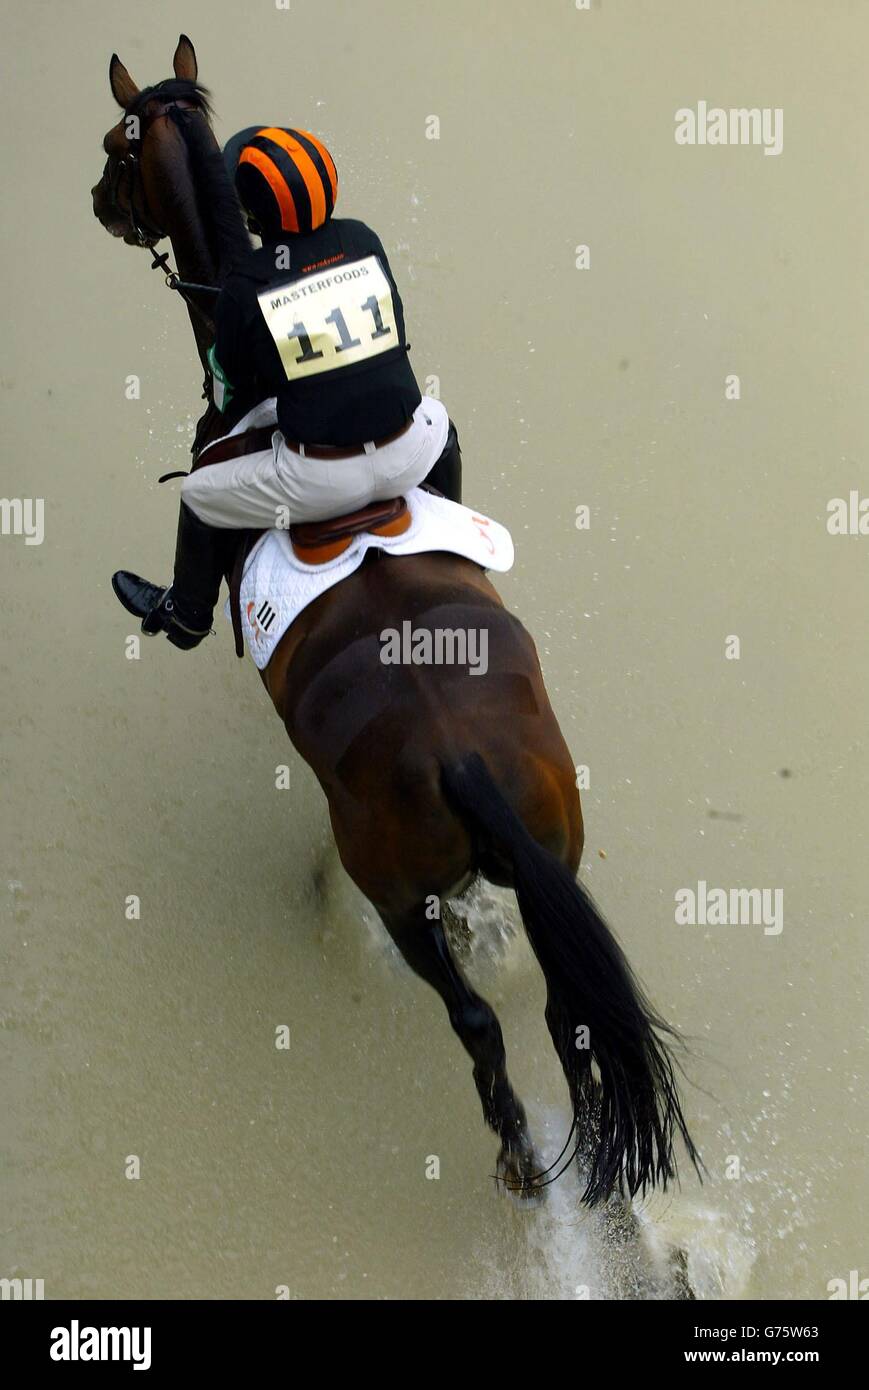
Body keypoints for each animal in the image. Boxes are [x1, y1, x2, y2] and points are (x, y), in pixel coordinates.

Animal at [92, 35, 700, 1213]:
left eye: (116, 147)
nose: (98, 206)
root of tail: (459, 753)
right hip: (553, 843)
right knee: (565, 1015)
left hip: (390, 892)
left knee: (473, 1017)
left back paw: (517, 1155)